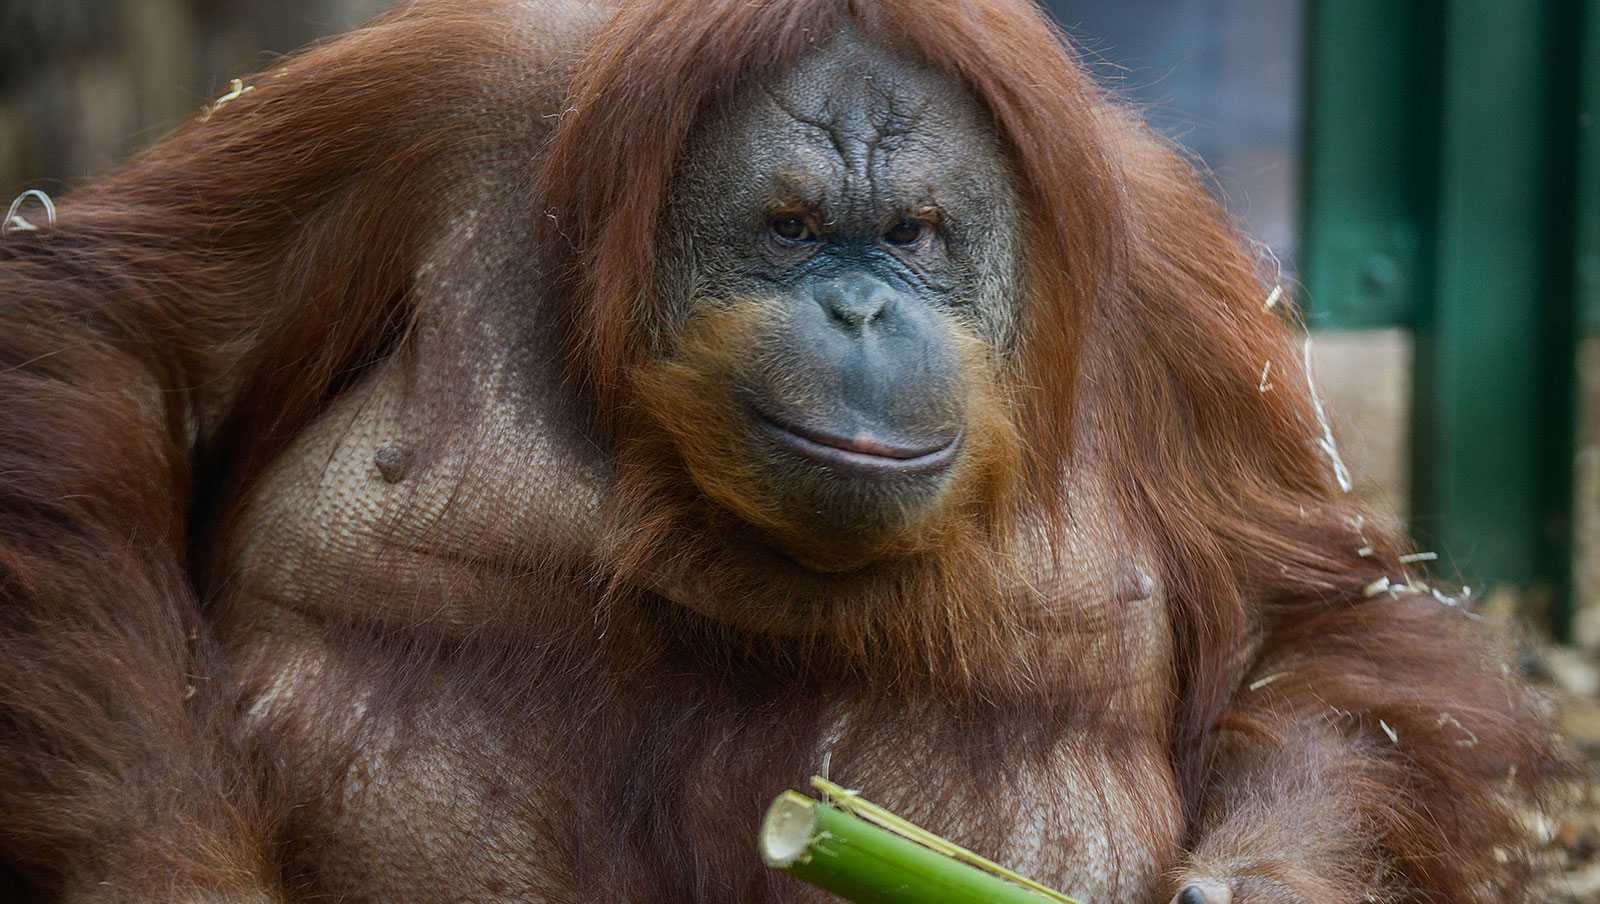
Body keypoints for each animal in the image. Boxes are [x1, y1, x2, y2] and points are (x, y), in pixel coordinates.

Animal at [0, 1, 1568, 902]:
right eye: (794, 224)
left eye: (918, 232)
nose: (860, 304)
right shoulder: (424, 103)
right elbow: (105, 337)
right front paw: (170, 865)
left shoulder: (1178, 270)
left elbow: (1325, 622)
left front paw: (1256, 883)